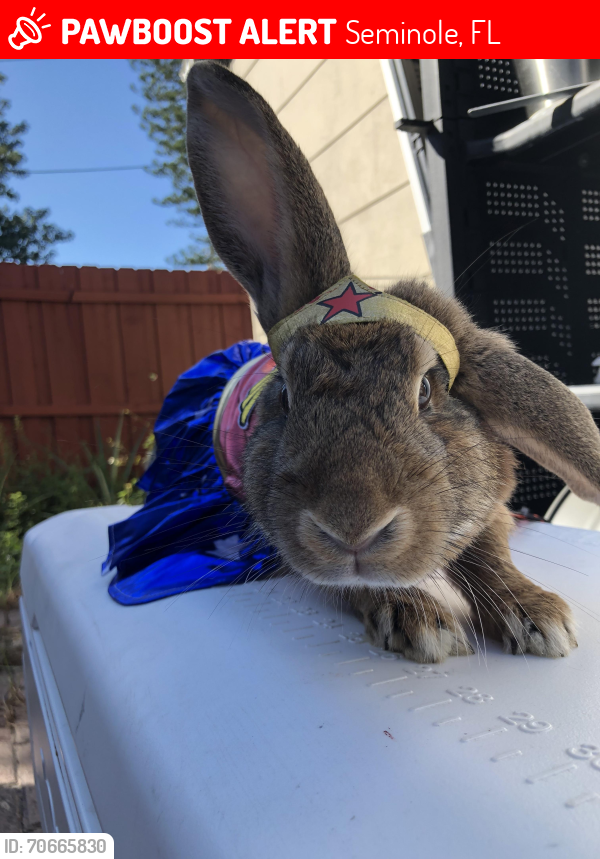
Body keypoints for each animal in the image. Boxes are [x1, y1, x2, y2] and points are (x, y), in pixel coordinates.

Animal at [185, 61, 600, 663]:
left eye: (426, 390)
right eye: (286, 394)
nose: (351, 528)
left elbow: (489, 553)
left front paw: (537, 614)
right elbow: (353, 582)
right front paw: (418, 618)